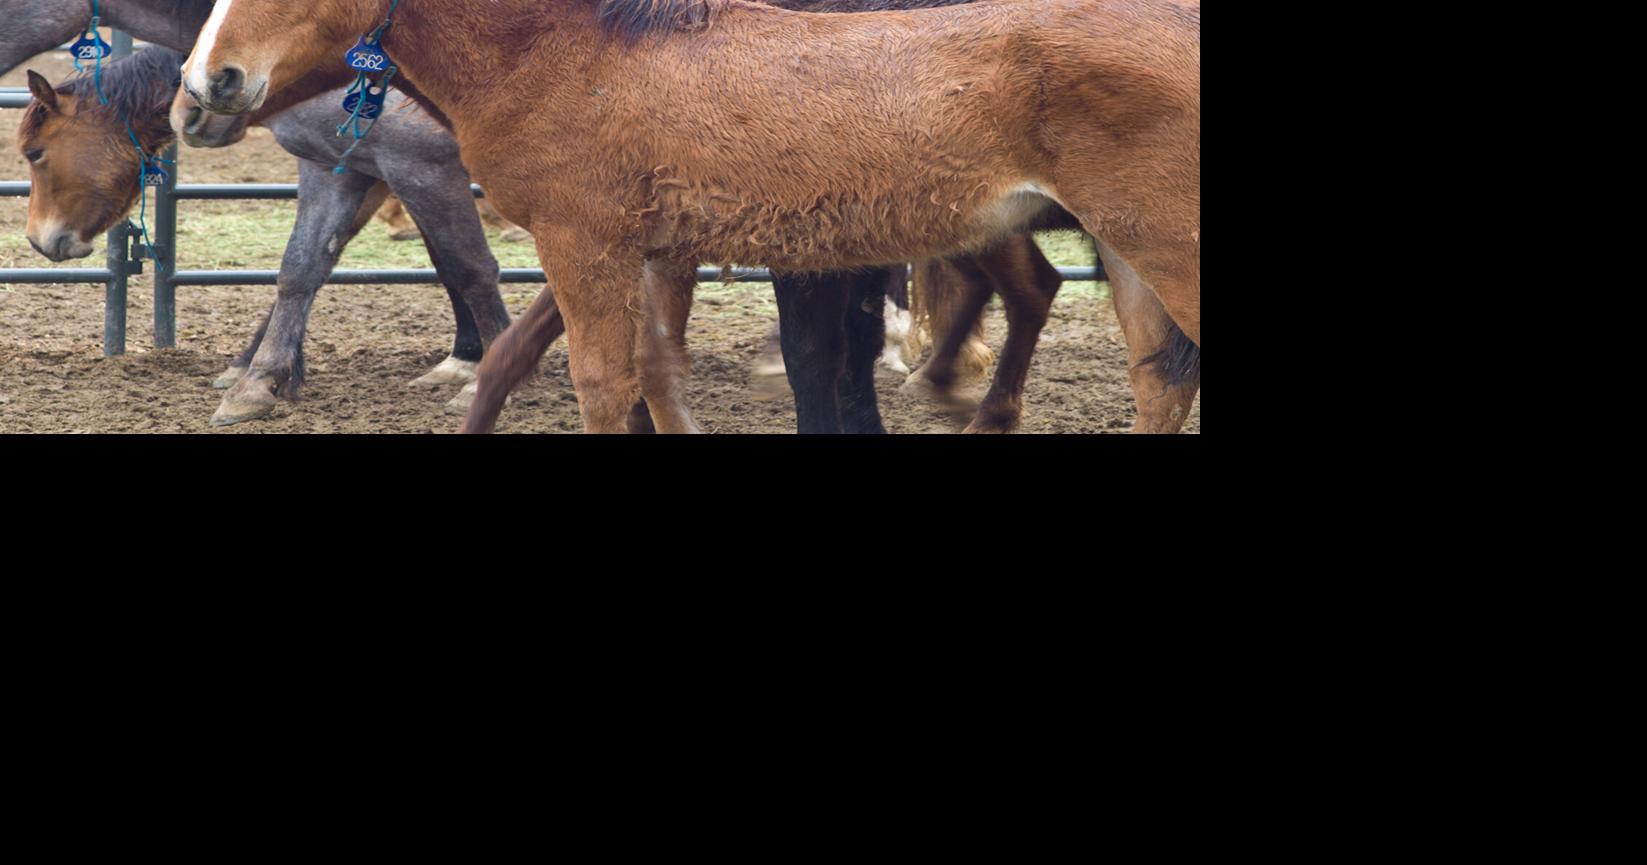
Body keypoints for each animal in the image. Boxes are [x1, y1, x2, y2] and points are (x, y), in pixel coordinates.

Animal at [14, 45, 514, 425]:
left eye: (35, 152)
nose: (38, 239)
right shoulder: (352, 171)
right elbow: (306, 265)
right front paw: (254, 375)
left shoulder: (418, 169)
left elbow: (464, 265)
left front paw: (477, 370)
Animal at [184, 0, 1200, 434]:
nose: (202, 87)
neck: (568, 54)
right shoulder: (654, 254)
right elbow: (657, 379)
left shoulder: (582, 247)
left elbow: (602, 384)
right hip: (1125, 251)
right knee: (1158, 381)